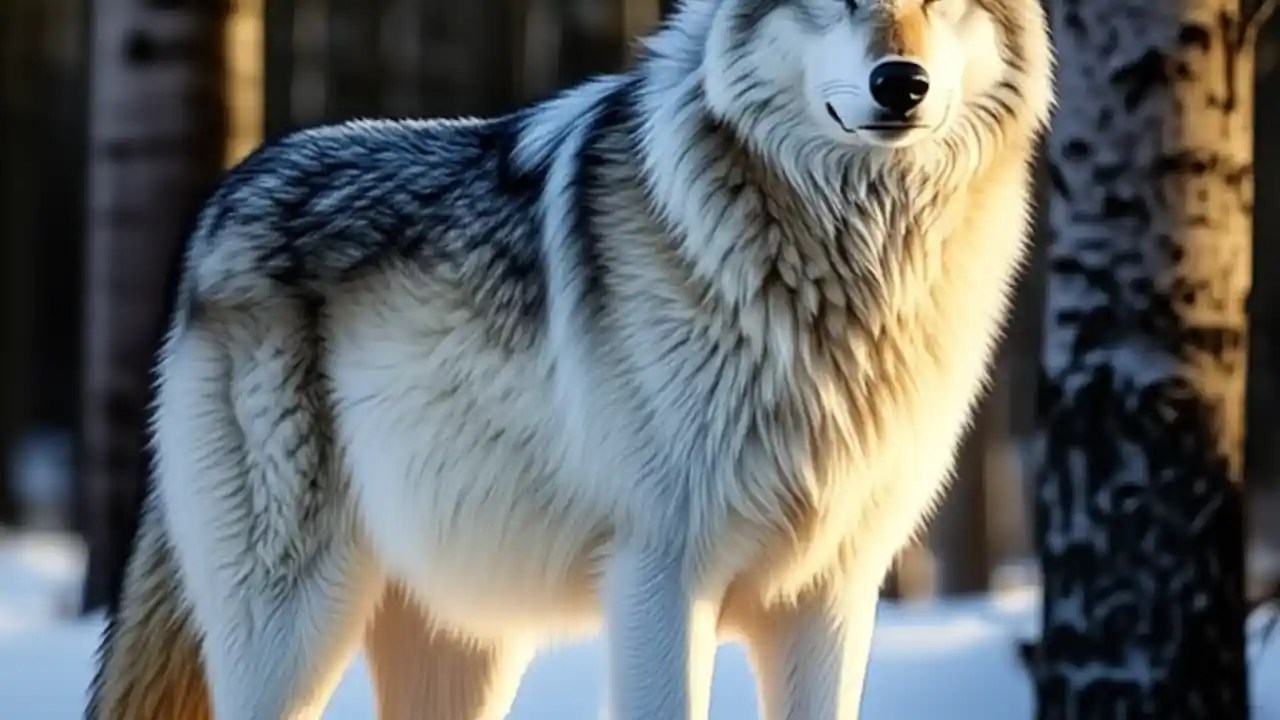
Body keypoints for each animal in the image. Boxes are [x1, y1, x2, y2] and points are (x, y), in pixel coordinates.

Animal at [89, 0, 1052, 718]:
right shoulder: (661, 578)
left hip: (463, 645)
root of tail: (224, 197)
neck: (851, 261)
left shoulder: (832, 596)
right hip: (290, 629)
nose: (901, 83)